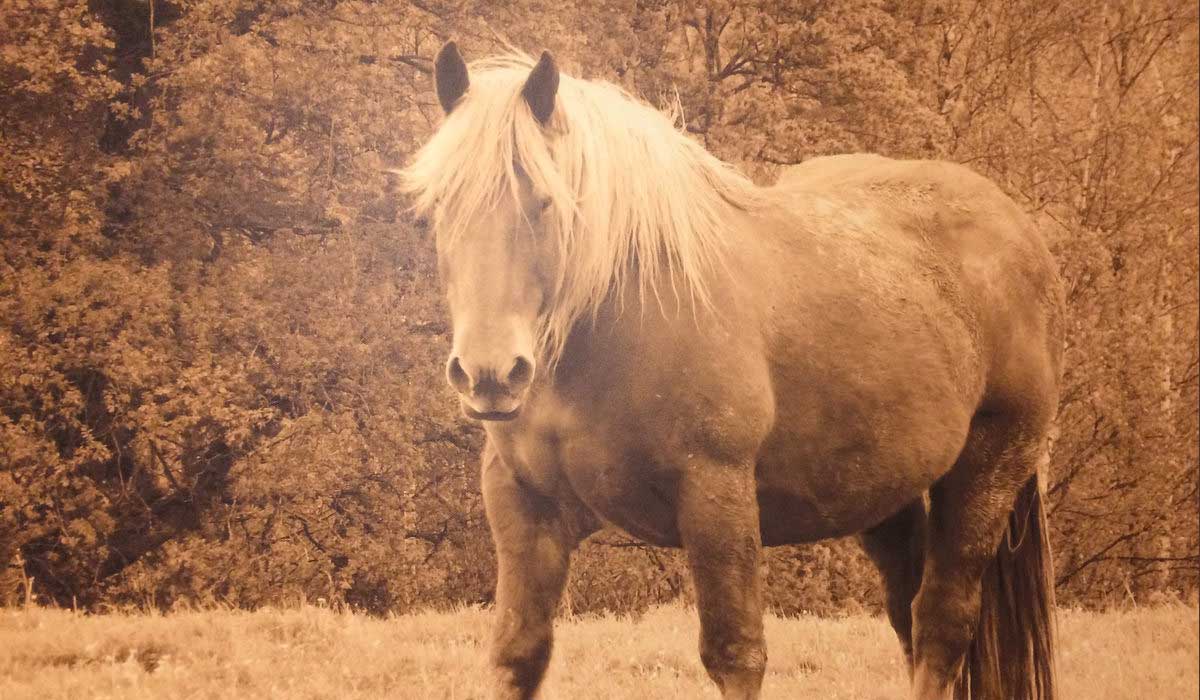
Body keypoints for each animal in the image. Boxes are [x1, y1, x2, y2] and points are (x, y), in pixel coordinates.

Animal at [402, 42, 1062, 700]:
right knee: (908, 613)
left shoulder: (716, 497)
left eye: (543, 201)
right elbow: (518, 653)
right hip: (884, 492)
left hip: (989, 468)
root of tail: (1020, 231)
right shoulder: (523, 504)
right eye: (436, 210)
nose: (490, 374)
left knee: (941, 622)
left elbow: (735, 653)